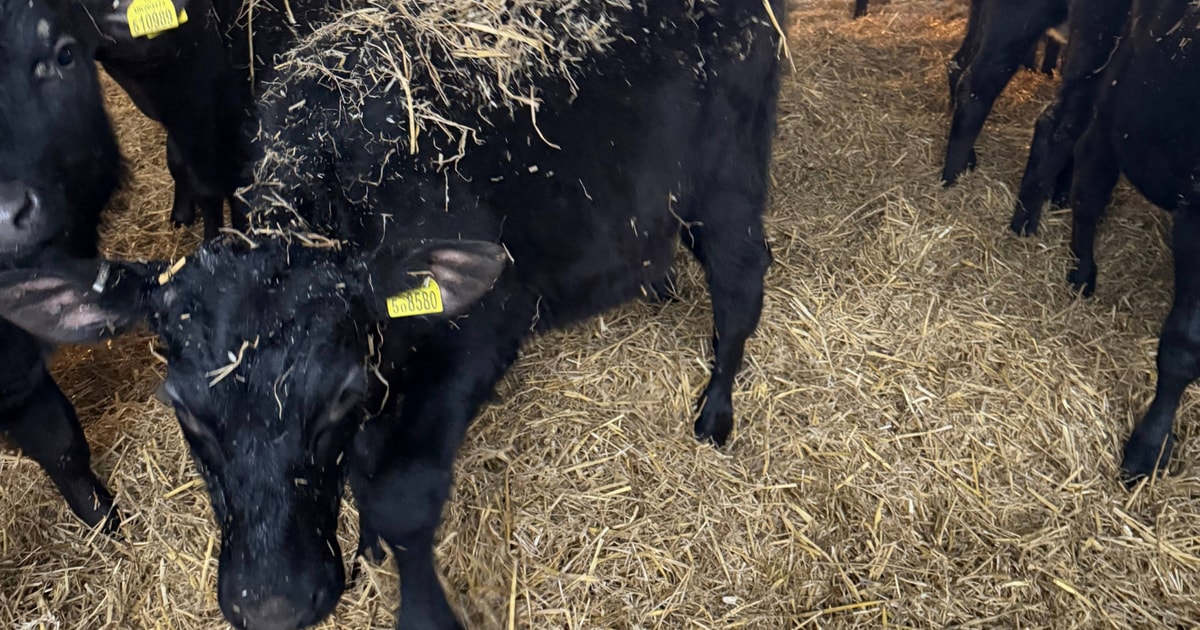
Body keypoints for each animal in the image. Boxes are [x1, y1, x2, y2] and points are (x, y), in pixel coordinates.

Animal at [0, 0, 788, 627]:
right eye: (185, 412)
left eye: (337, 396)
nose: (273, 606)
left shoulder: (473, 340)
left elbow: (402, 495)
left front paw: (421, 605)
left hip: (730, 179)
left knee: (743, 282)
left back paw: (716, 410)